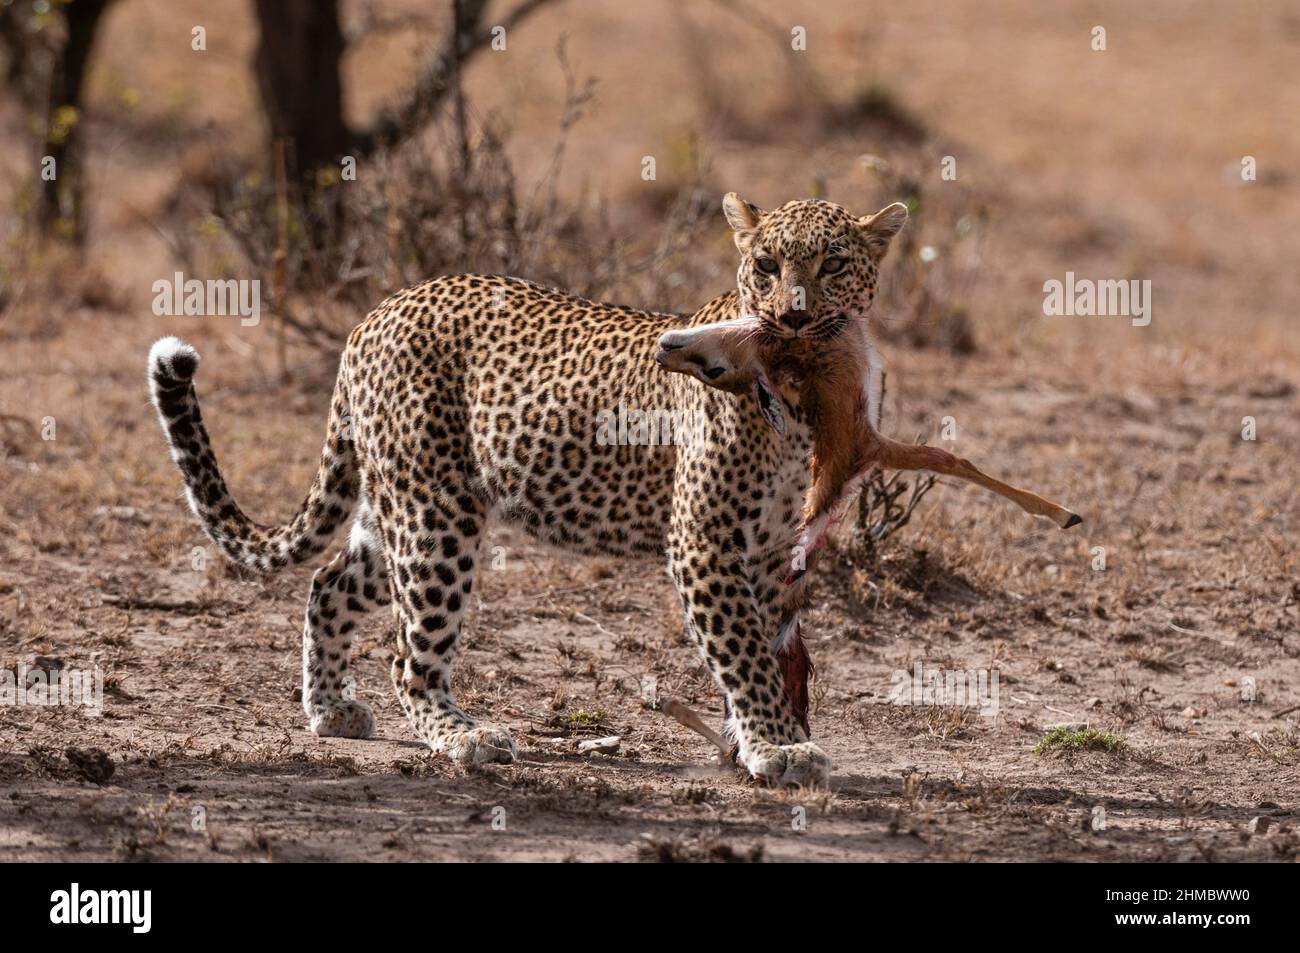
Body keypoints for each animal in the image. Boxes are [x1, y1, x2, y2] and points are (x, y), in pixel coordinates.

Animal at [147, 192, 909, 787]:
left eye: (833, 264)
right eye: (767, 265)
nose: (793, 317)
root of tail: (378, 311)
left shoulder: (776, 549)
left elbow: (771, 649)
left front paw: (756, 740)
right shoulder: (704, 543)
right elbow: (746, 652)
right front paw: (777, 746)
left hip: (395, 505)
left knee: (329, 581)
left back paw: (331, 708)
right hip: (435, 518)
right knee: (409, 654)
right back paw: (463, 736)